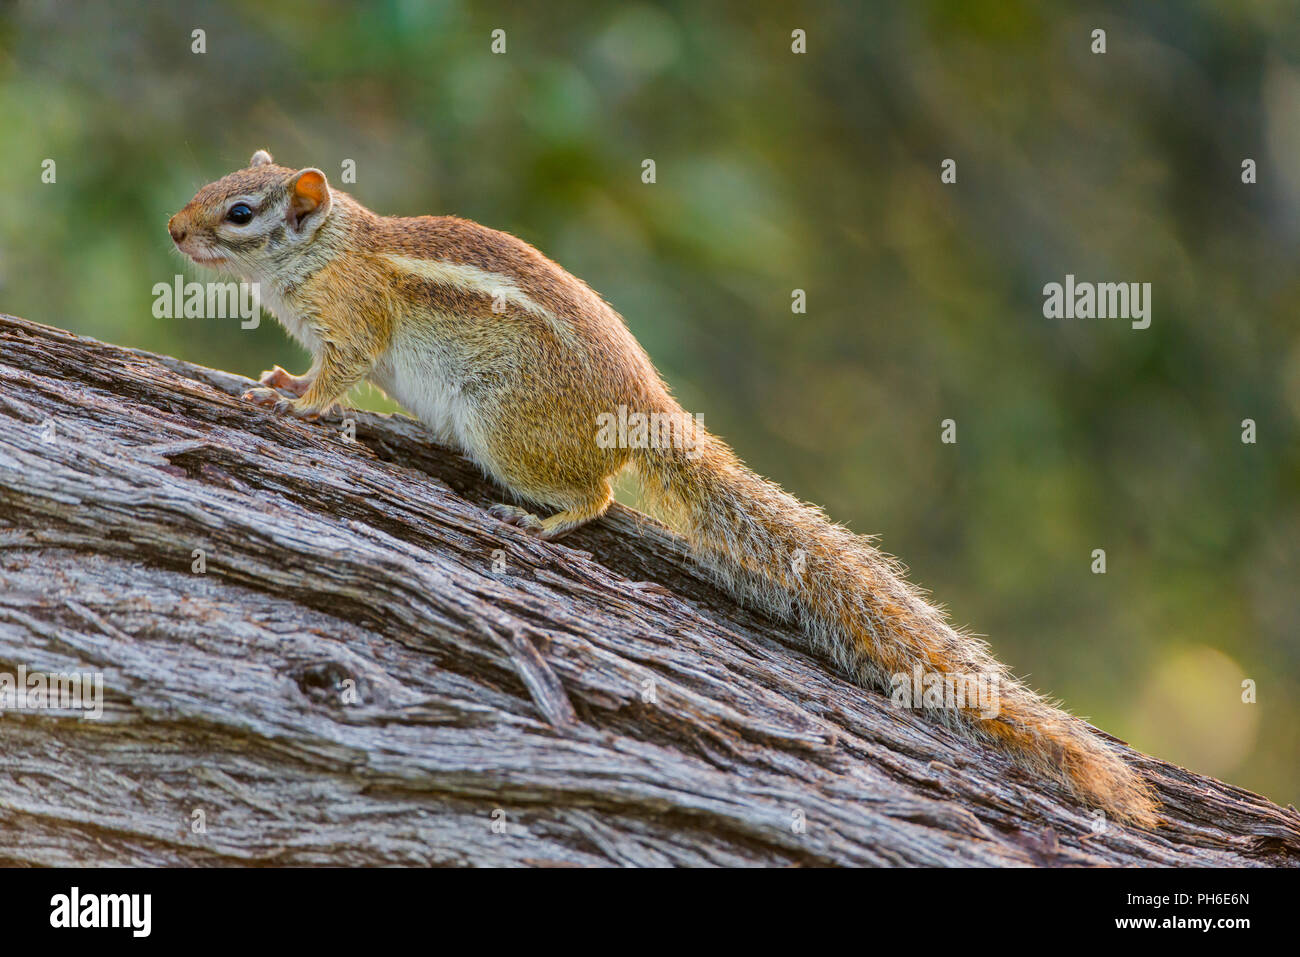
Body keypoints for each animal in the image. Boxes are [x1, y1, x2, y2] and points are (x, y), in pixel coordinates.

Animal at [168, 149, 1159, 827]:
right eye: (213, 185)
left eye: (242, 211)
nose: (175, 230)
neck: (326, 252)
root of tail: (647, 405)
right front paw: (276, 380)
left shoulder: (354, 327)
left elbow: (335, 379)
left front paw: (291, 403)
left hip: (507, 427)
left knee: (601, 496)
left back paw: (543, 523)